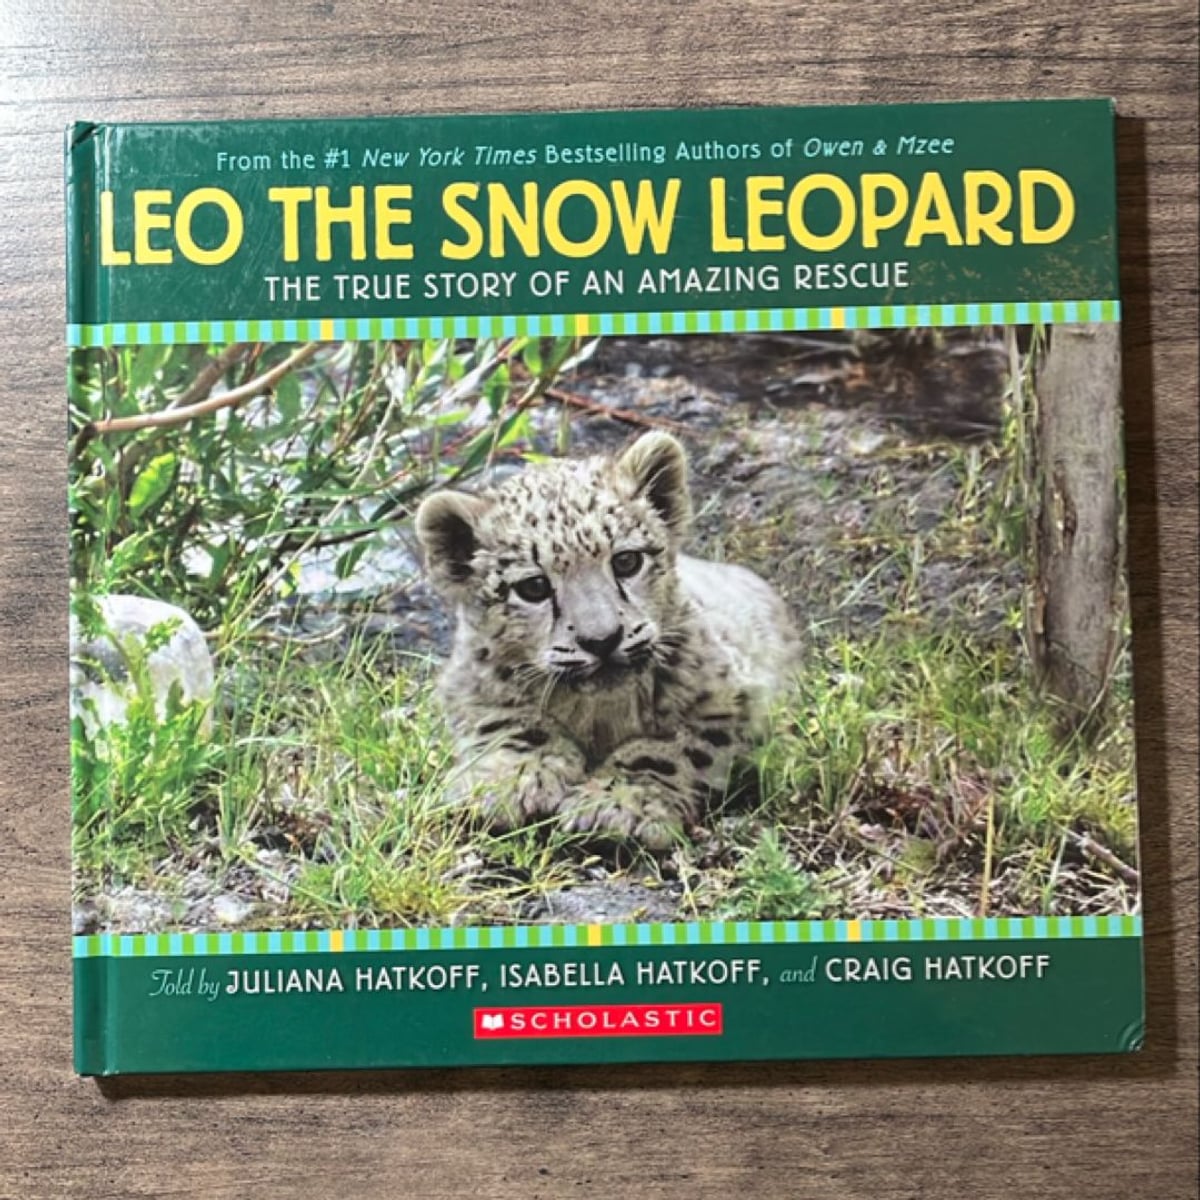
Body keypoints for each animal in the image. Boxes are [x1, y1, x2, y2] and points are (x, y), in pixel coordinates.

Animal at [415, 430, 800, 850]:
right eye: (533, 586)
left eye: (627, 561)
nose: (601, 639)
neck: (599, 715)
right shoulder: (472, 685)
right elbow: (511, 723)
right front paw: (508, 783)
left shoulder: (726, 698)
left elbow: (665, 747)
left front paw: (615, 805)